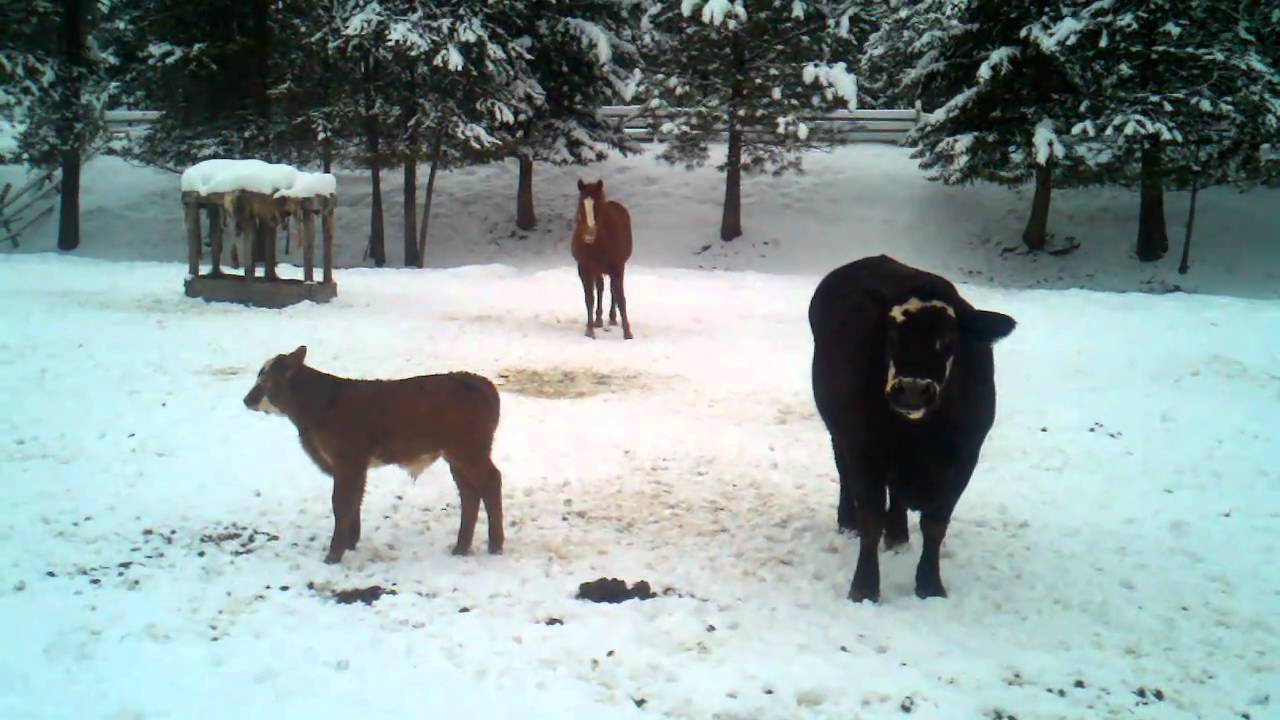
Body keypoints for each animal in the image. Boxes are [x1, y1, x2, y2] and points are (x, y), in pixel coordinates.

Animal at [243, 346, 505, 564]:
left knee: (491, 482)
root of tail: (474, 379)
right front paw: (350, 543)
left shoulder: (348, 460)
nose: (246, 400)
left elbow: (341, 503)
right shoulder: (356, 465)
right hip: (457, 456)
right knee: (469, 493)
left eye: (266, 379)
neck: (321, 404)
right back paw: (461, 547)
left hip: (469, 451)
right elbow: (355, 501)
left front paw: (333, 555)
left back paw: (495, 545)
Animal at [808, 255, 1016, 602]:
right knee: (845, 474)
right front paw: (864, 588)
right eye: (891, 336)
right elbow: (871, 517)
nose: (913, 390)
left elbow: (936, 523)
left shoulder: (965, 457)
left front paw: (930, 585)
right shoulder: (862, 447)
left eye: (948, 339)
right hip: (839, 431)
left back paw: (898, 533)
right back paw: (849, 521)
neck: (919, 437)